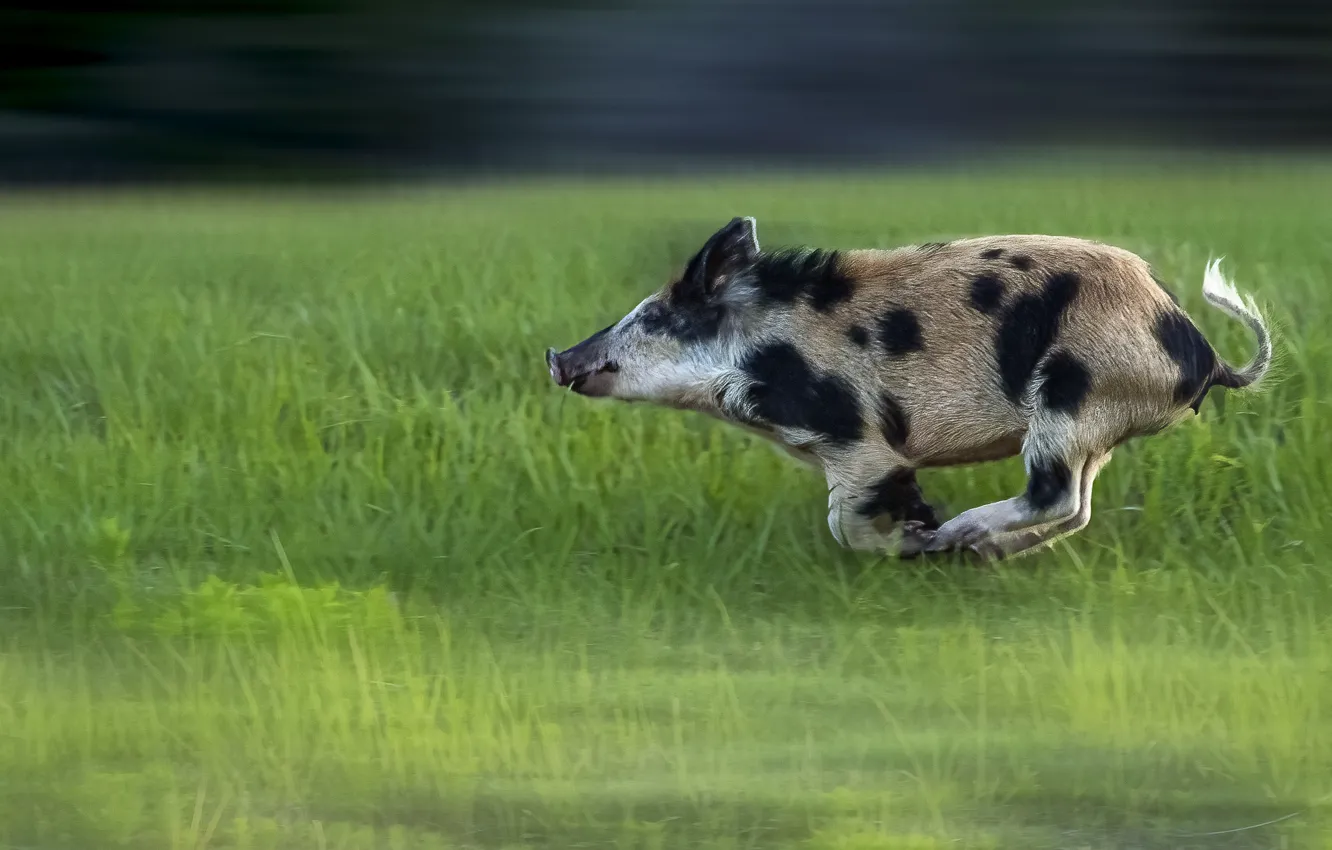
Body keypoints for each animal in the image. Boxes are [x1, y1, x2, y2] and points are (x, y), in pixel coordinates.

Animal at [544, 217, 1273, 560]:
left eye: (651, 318)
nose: (556, 356)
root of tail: (1201, 352)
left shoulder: (856, 437)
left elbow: (843, 523)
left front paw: (919, 535)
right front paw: (923, 523)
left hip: (1073, 398)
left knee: (1057, 494)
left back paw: (960, 536)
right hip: (1095, 423)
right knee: (1079, 507)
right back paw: (978, 550)